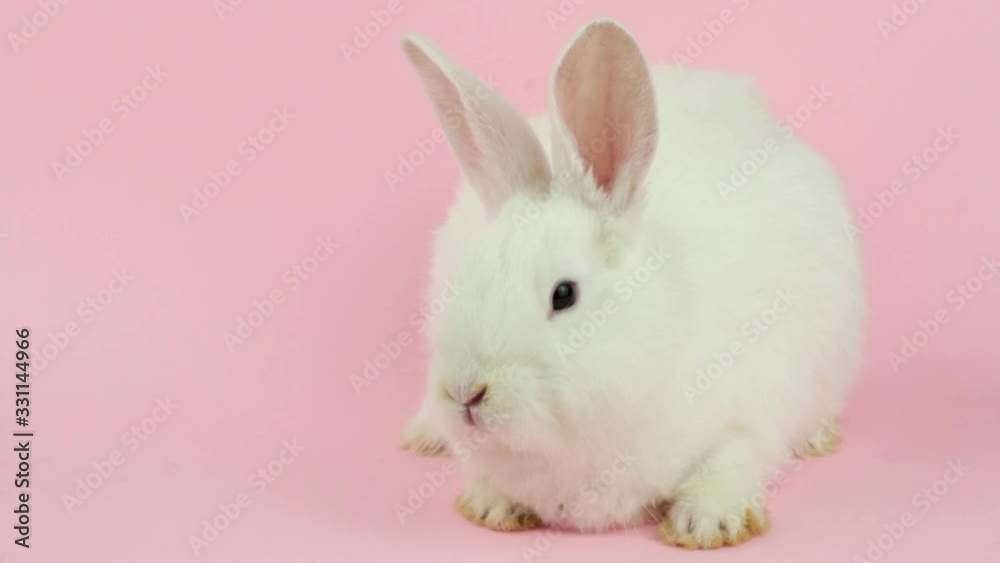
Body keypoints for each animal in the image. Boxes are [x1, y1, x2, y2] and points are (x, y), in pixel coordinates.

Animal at [397, 18, 866, 549]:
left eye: (565, 294)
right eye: (463, 280)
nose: (466, 392)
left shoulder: (756, 407)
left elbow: (732, 460)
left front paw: (708, 523)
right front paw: (492, 504)